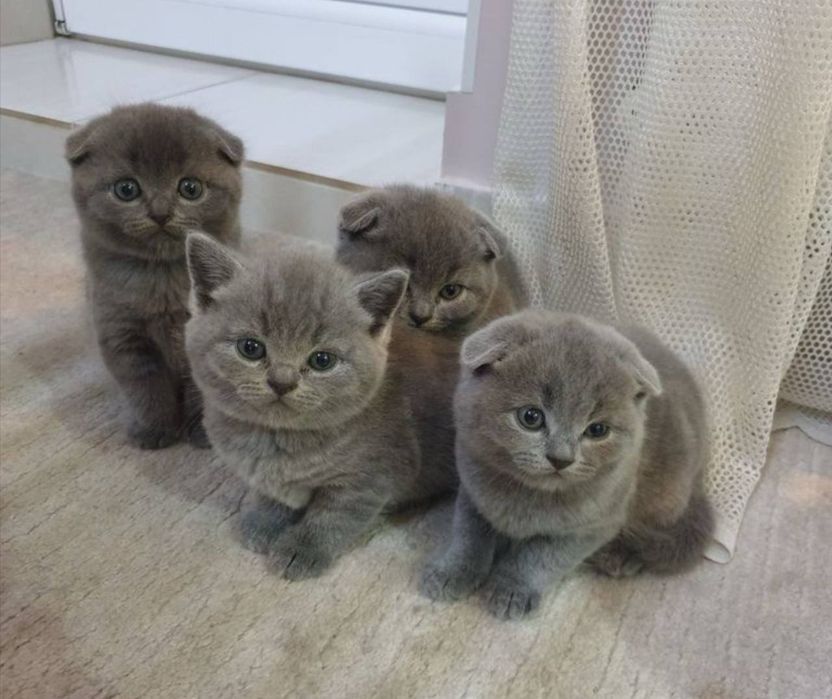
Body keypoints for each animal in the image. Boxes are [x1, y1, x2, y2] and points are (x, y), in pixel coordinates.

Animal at [67, 103, 244, 449]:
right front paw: (155, 430)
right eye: (126, 189)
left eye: (190, 188)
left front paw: (202, 434)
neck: (163, 284)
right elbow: (145, 390)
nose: (160, 213)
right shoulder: (122, 334)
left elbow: (199, 389)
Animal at [184, 233, 459, 580]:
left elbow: (333, 517)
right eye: (250, 348)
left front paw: (302, 549)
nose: (282, 381)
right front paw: (265, 521)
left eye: (322, 360)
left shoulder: (374, 476)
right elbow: (274, 496)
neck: (278, 440)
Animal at [420, 310, 713, 619]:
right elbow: (468, 535)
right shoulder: (472, 488)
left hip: (667, 493)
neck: (527, 495)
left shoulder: (593, 526)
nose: (561, 458)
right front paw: (452, 573)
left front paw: (512, 590)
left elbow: (539, 559)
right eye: (531, 417)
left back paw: (618, 558)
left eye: (597, 430)